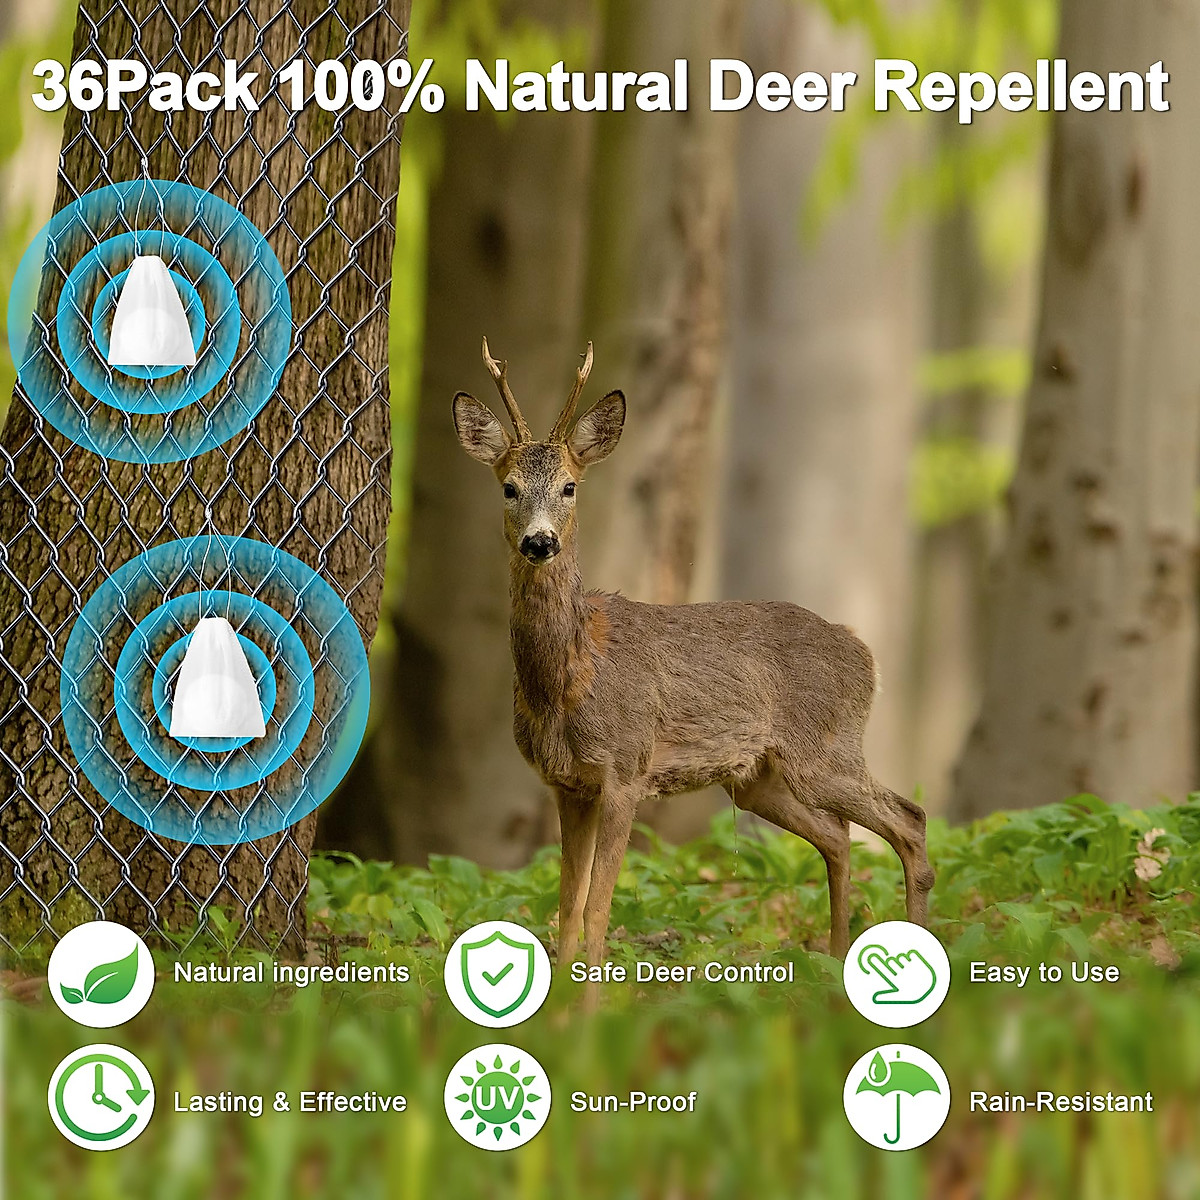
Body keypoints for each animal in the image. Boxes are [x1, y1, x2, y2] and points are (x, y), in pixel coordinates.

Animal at [452, 338, 933, 980]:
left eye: (570, 486)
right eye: (508, 487)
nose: (539, 541)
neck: (569, 680)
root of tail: (865, 653)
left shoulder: (626, 769)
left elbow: (597, 912)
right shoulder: (568, 785)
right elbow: (566, 913)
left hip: (824, 750)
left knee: (909, 819)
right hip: (757, 778)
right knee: (838, 837)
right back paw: (834, 964)